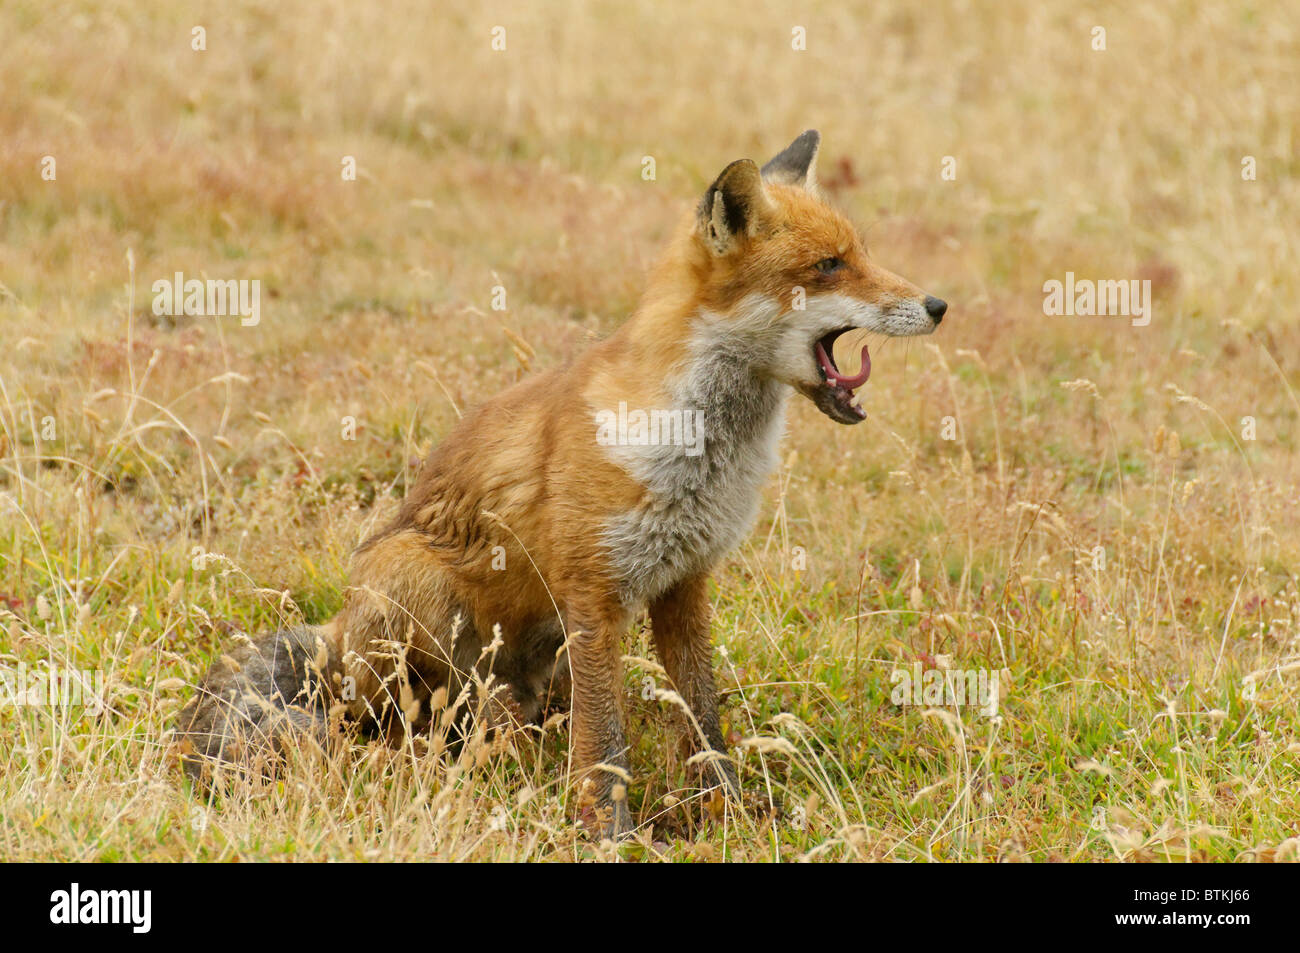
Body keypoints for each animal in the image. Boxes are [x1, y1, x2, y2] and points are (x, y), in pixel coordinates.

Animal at [175, 130, 947, 838]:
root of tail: (334, 634)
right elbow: (606, 744)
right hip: (419, 590)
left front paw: (733, 812)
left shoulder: (683, 586)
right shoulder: (594, 593)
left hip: (532, 657)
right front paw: (608, 834)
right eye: (828, 266)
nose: (939, 304)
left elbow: (705, 722)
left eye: (862, 254)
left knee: (501, 718)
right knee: (385, 723)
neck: (703, 452)